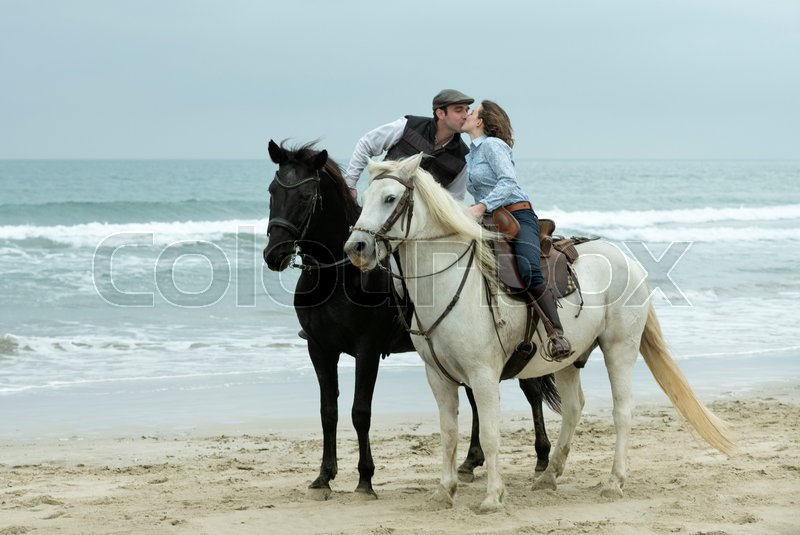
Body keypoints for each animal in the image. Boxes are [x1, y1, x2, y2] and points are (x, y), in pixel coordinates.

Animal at [262, 141, 560, 499]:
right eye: (272, 190)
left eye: (306, 196)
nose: (274, 254)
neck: (338, 277)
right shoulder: (320, 349)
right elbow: (328, 412)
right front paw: (324, 477)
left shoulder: (367, 349)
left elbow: (360, 412)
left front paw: (365, 479)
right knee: (476, 400)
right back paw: (470, 462)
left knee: (532, 392)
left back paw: (542, 458)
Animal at [343, 154, 735, 512]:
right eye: (365, 195)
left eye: (390, 198)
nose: (355, 248)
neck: (450, 281)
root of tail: (629, 261)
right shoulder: (438, 377)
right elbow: (449, 433)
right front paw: (444, 492)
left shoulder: (483, 376)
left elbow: (490, 434)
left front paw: (492, 497)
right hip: (568, 359)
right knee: (574, 409)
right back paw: (549, 476)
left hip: (619, 348)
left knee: (622, 410)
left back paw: (613, 482)